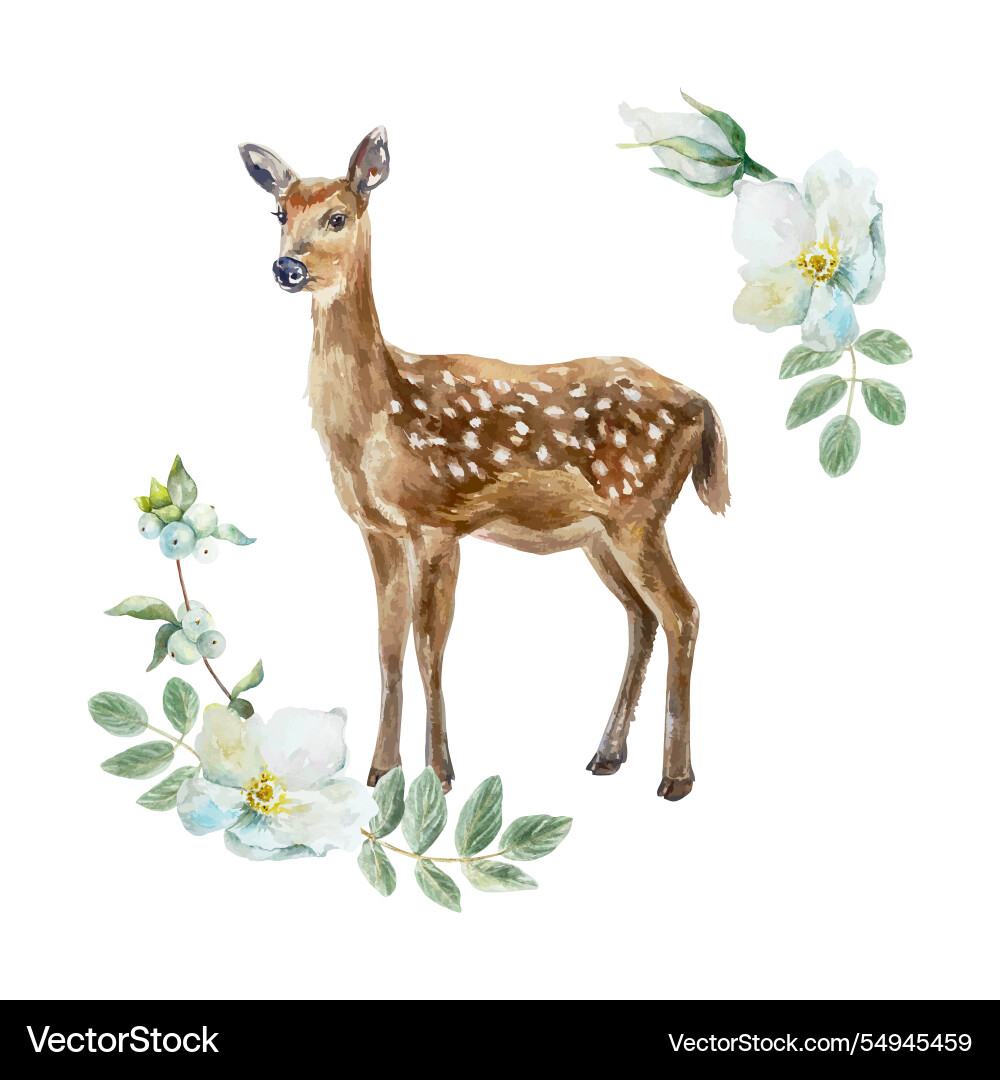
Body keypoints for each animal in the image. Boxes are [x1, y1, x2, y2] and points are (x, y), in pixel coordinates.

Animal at [238, 127, 729, 801]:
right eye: (279, 213)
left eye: (338, 216)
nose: (288, 267)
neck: (375, 420)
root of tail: (701, 403)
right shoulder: (377, 529)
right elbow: (387, 646)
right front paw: (381, 772)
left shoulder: (437, 520)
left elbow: (429, 648)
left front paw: (440, 774)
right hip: (600, 532)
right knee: (642, 616)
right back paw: (606, 755)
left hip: (639, 509)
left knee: (683, 613)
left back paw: (675, 778)